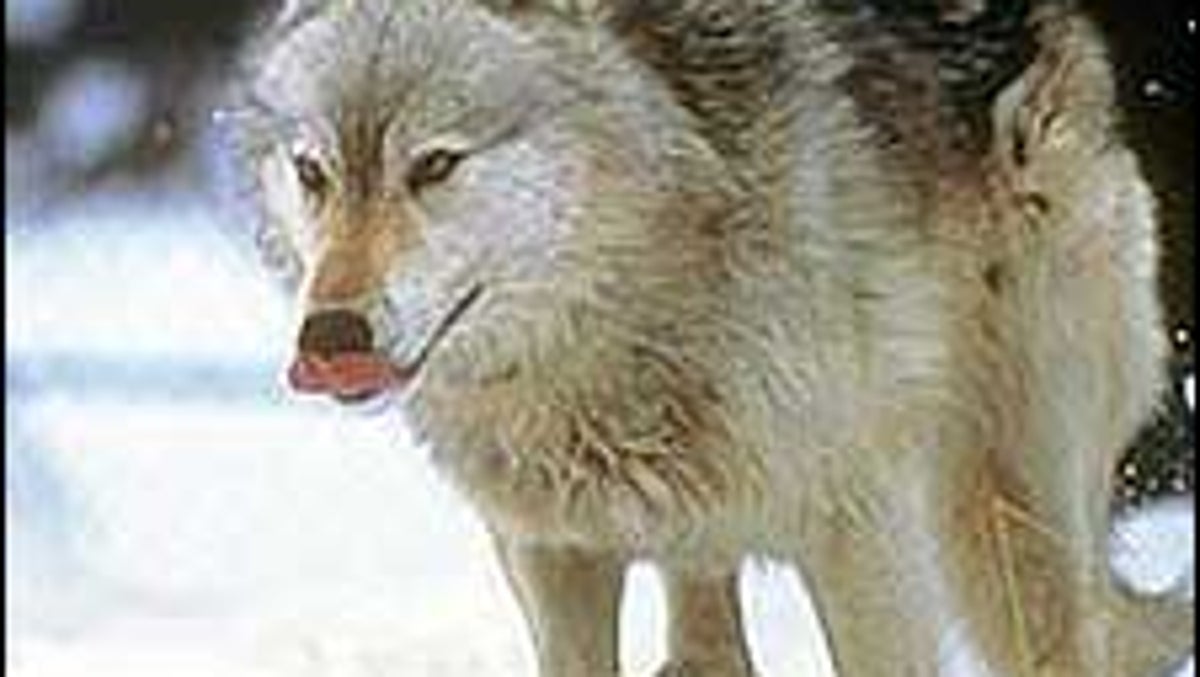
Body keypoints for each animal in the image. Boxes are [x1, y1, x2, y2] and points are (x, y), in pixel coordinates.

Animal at [228, 0, 1192, 674]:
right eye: (314, 172)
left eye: (433, 165)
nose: (331, 333)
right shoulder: (552, 553)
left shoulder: (864, 535)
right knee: (707, 647)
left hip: (1011, 515)